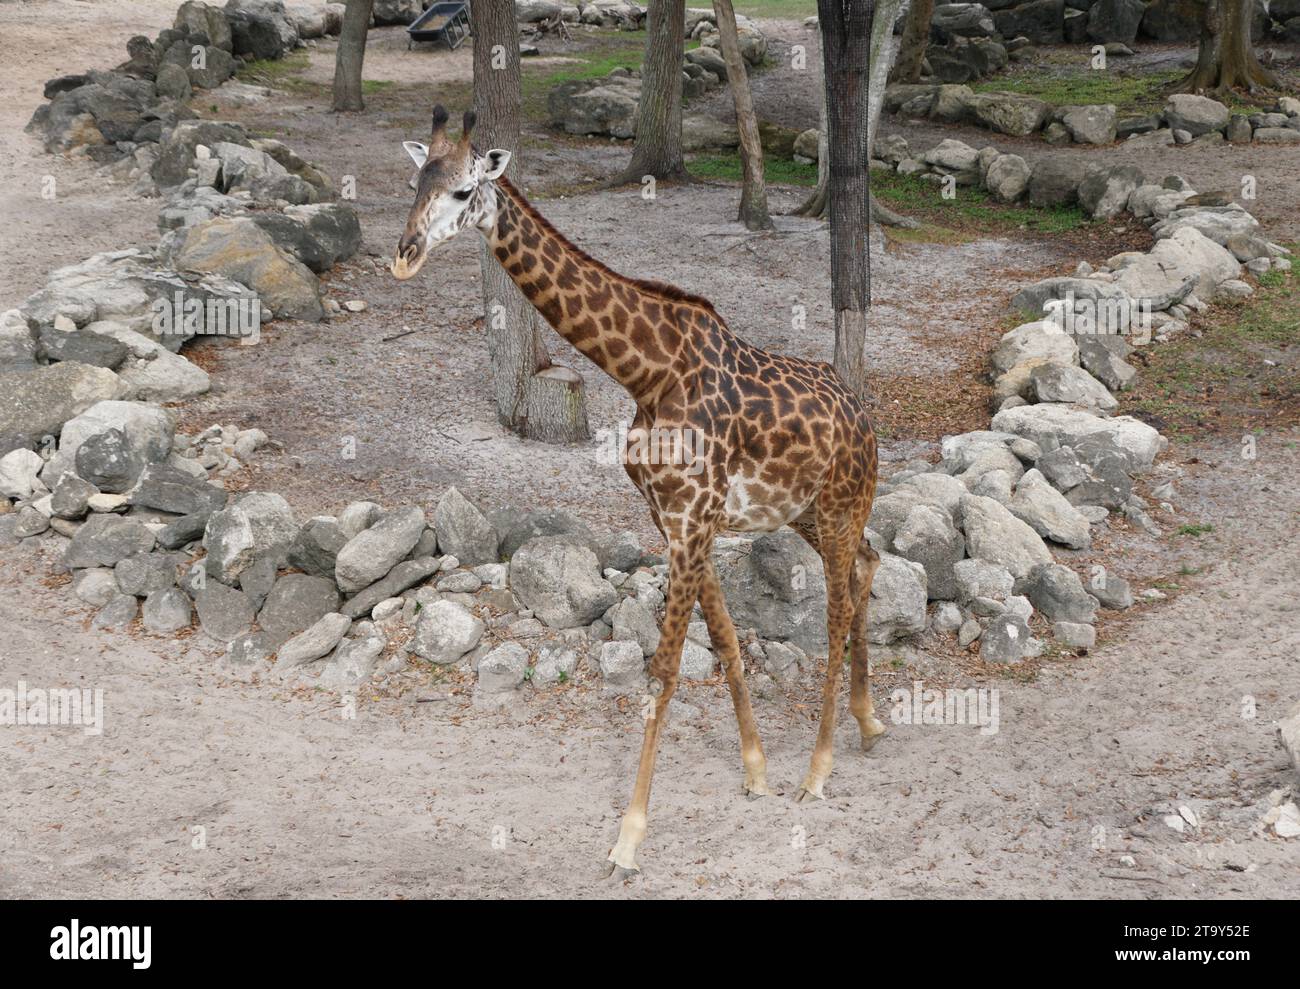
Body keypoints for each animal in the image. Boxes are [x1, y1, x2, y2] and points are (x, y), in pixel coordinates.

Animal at [392, 106, 885, 876]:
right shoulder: (675, 520)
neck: (645, 372)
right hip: (814, 512)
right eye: (416, 182)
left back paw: (819, 770)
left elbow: (663, 670)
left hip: (836, 508)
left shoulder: (692, 519)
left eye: (464, 190)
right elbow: (727, 643)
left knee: (835, 615)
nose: (405, 253)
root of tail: (867, 418)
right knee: (868, 565)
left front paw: (628, 836)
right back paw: (868, 724)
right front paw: (755, 772)